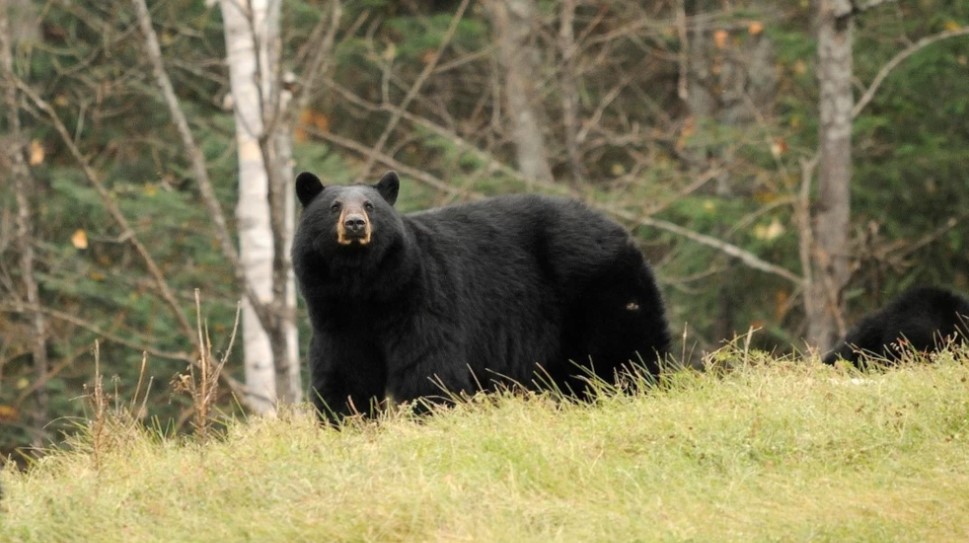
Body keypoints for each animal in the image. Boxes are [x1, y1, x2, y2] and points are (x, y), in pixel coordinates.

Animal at [291, 170, 671, 422]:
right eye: (334, 206)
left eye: (370, 206)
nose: (355, 224)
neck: (364, 284)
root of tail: (619, 230)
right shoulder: (335, 314)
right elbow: (345, 370)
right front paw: (345, 420)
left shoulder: (421, 296)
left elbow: (429, 364)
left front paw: (430, 415)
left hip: (600, 289)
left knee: (624, 353)